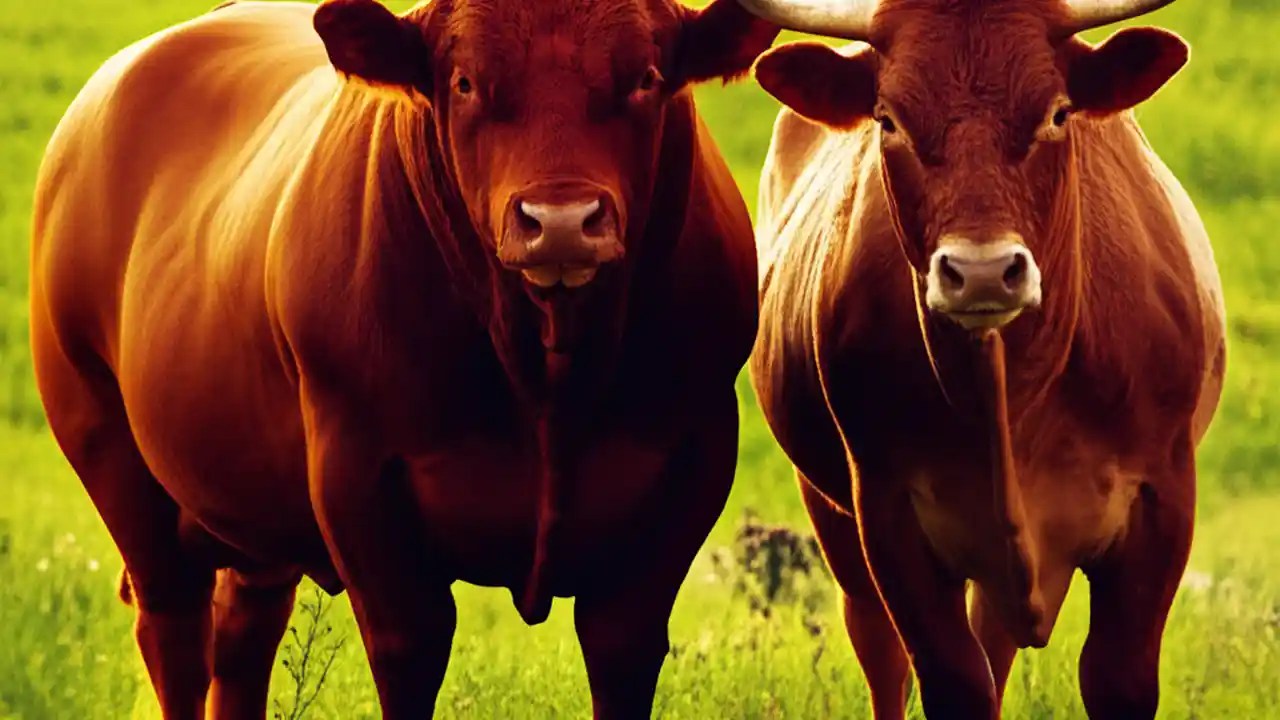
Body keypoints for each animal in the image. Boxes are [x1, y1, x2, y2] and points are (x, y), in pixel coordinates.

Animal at [28, 0, 778, 717]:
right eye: (465, 82)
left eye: (646, 77)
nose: (561, 221)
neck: (546, 373)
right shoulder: (358, 481)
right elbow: (410, 649)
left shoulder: (690, 473)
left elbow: (622, 648)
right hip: (108, 446)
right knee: (174, 627)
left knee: (242, 632)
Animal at [734, 0, 1225, 717]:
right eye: (888, 119)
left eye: (1058, 112)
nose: (984, 273)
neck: (1014, 389)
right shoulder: (889, 514)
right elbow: (952, 679)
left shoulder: (1161, 503)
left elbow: (1115, 676)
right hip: (833, 515)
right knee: (880, 647)